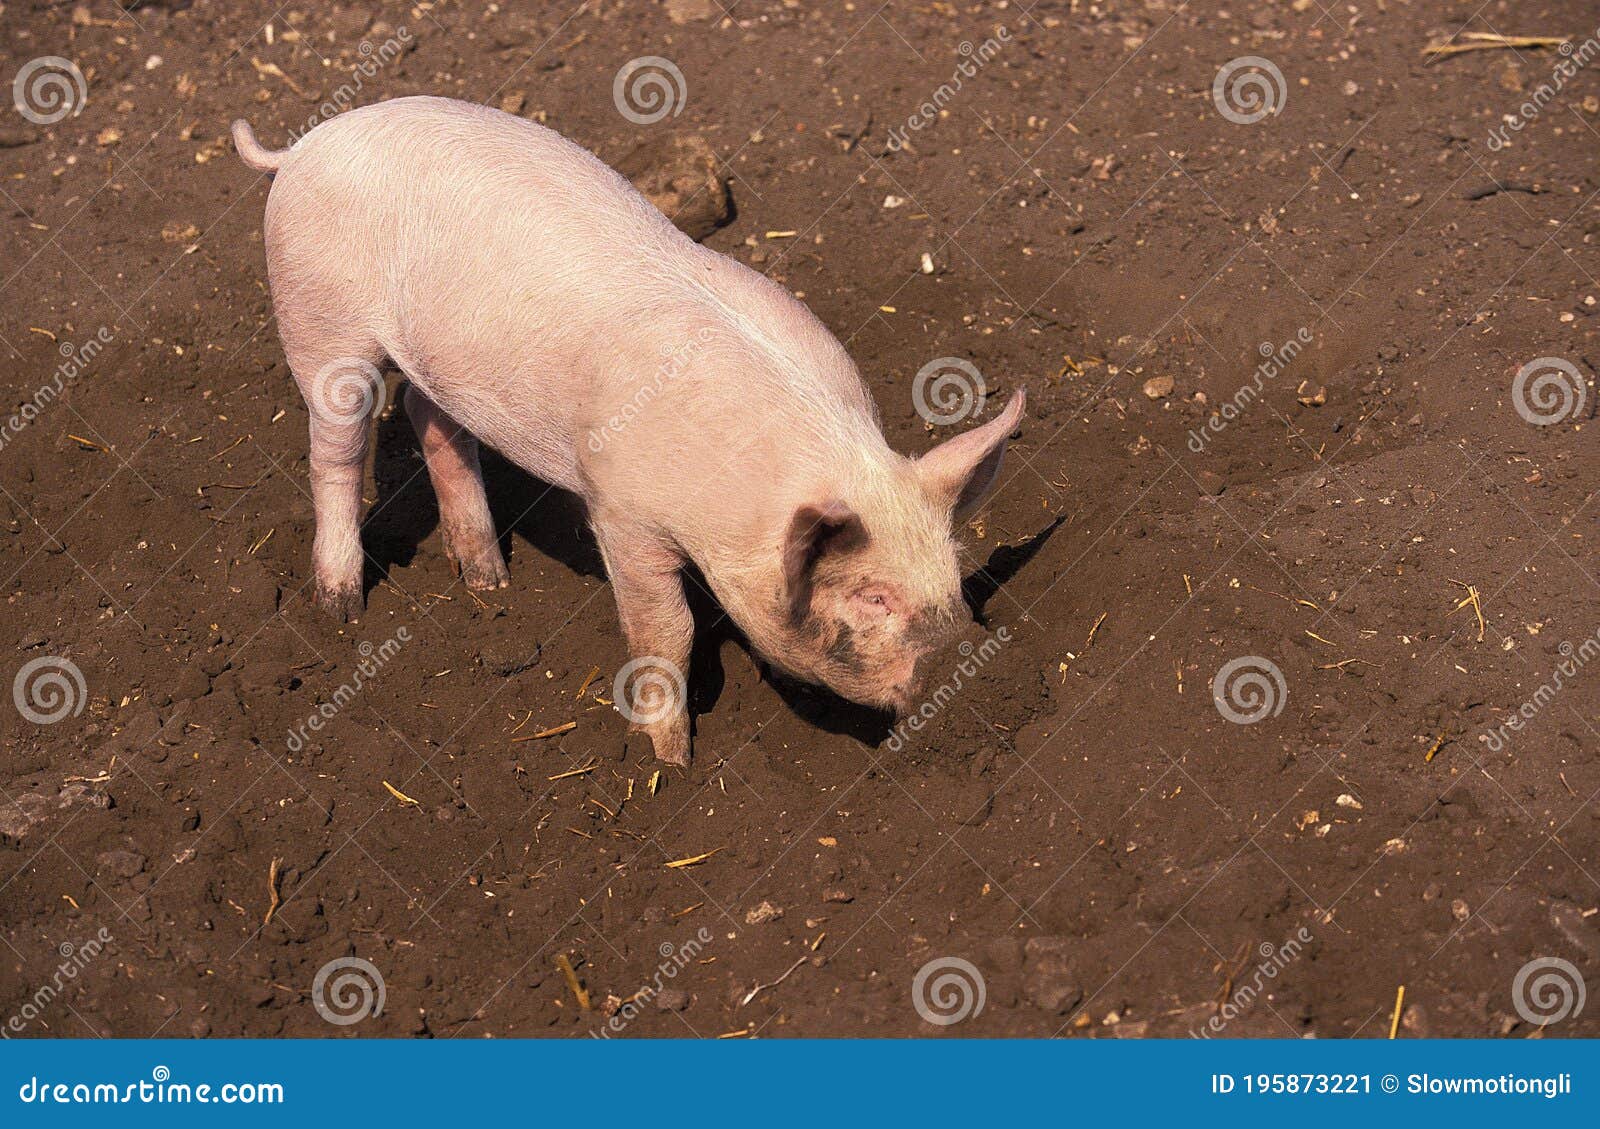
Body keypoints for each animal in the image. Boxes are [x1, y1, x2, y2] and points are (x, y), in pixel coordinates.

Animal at [232, 96, 1024, 766]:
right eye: (872, 597)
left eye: (953, 571)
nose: (962, 661)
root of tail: (305, 145)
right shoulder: (622, 512)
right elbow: (666, 628)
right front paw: (669, 761)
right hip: (320, 322)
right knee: (335, 453)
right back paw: (342, 607)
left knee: (436, 420)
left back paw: (488, 580)